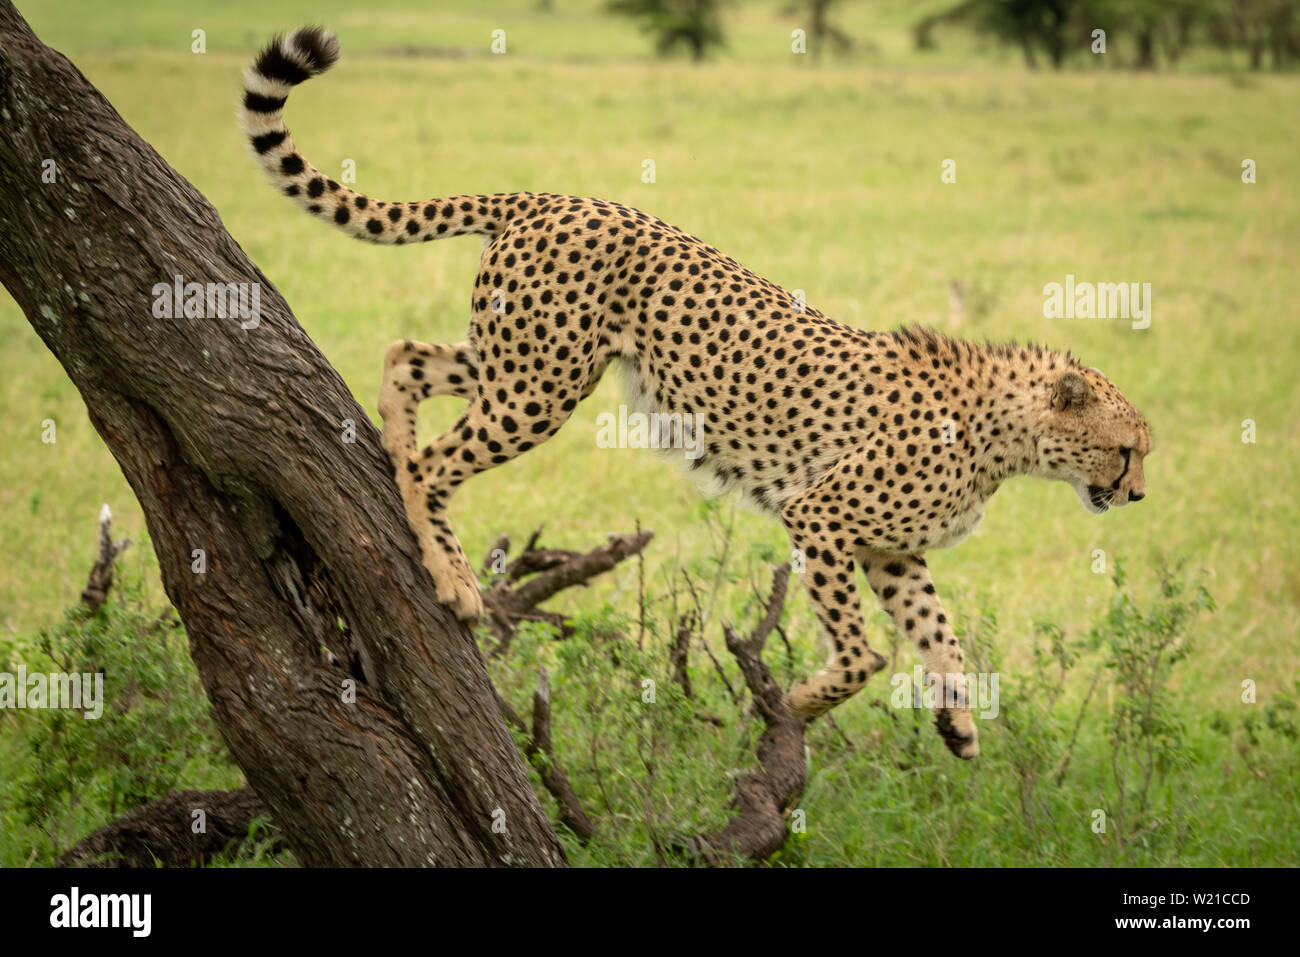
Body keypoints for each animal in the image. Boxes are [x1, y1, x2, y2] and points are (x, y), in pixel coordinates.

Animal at [239, 27, 1152, 759]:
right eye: (1125, 449)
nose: (1138, 494)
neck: (1008, 437)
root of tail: (556, 195)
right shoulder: (821, 517)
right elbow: (866, 653)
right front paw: (801, 701)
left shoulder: (893, 551)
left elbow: (941, 636)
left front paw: (959, 722)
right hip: (540, 384)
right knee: (436, 462)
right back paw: (452, 574)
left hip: (527, 359)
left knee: (406, 356)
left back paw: (391, 449)